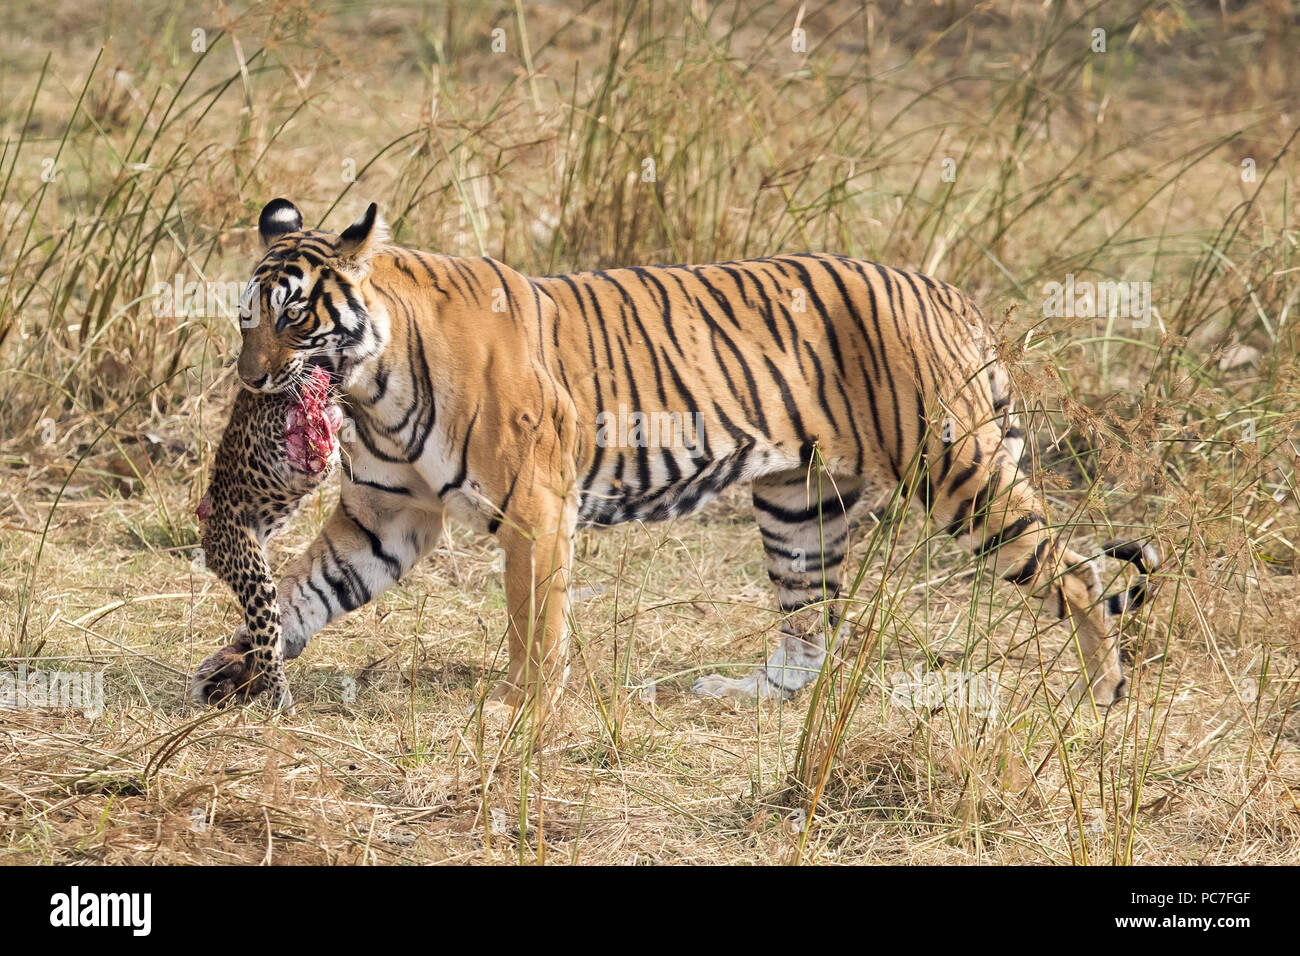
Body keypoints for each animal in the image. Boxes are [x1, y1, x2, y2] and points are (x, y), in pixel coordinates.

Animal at [190, 196, 1158, 718]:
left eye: (295, 317)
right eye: (246, 318)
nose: (252, 379)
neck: (375, 383)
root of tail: (949, 292)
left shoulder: (535, 509)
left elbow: (535, 623)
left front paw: (524, 708)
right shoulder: (385, 515)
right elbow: (305, 591)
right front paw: (240, 666)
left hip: (958, 474)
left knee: (1075, 571)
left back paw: (1103, 693)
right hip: (799, 502)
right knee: (811, 628)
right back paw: (741, 693)